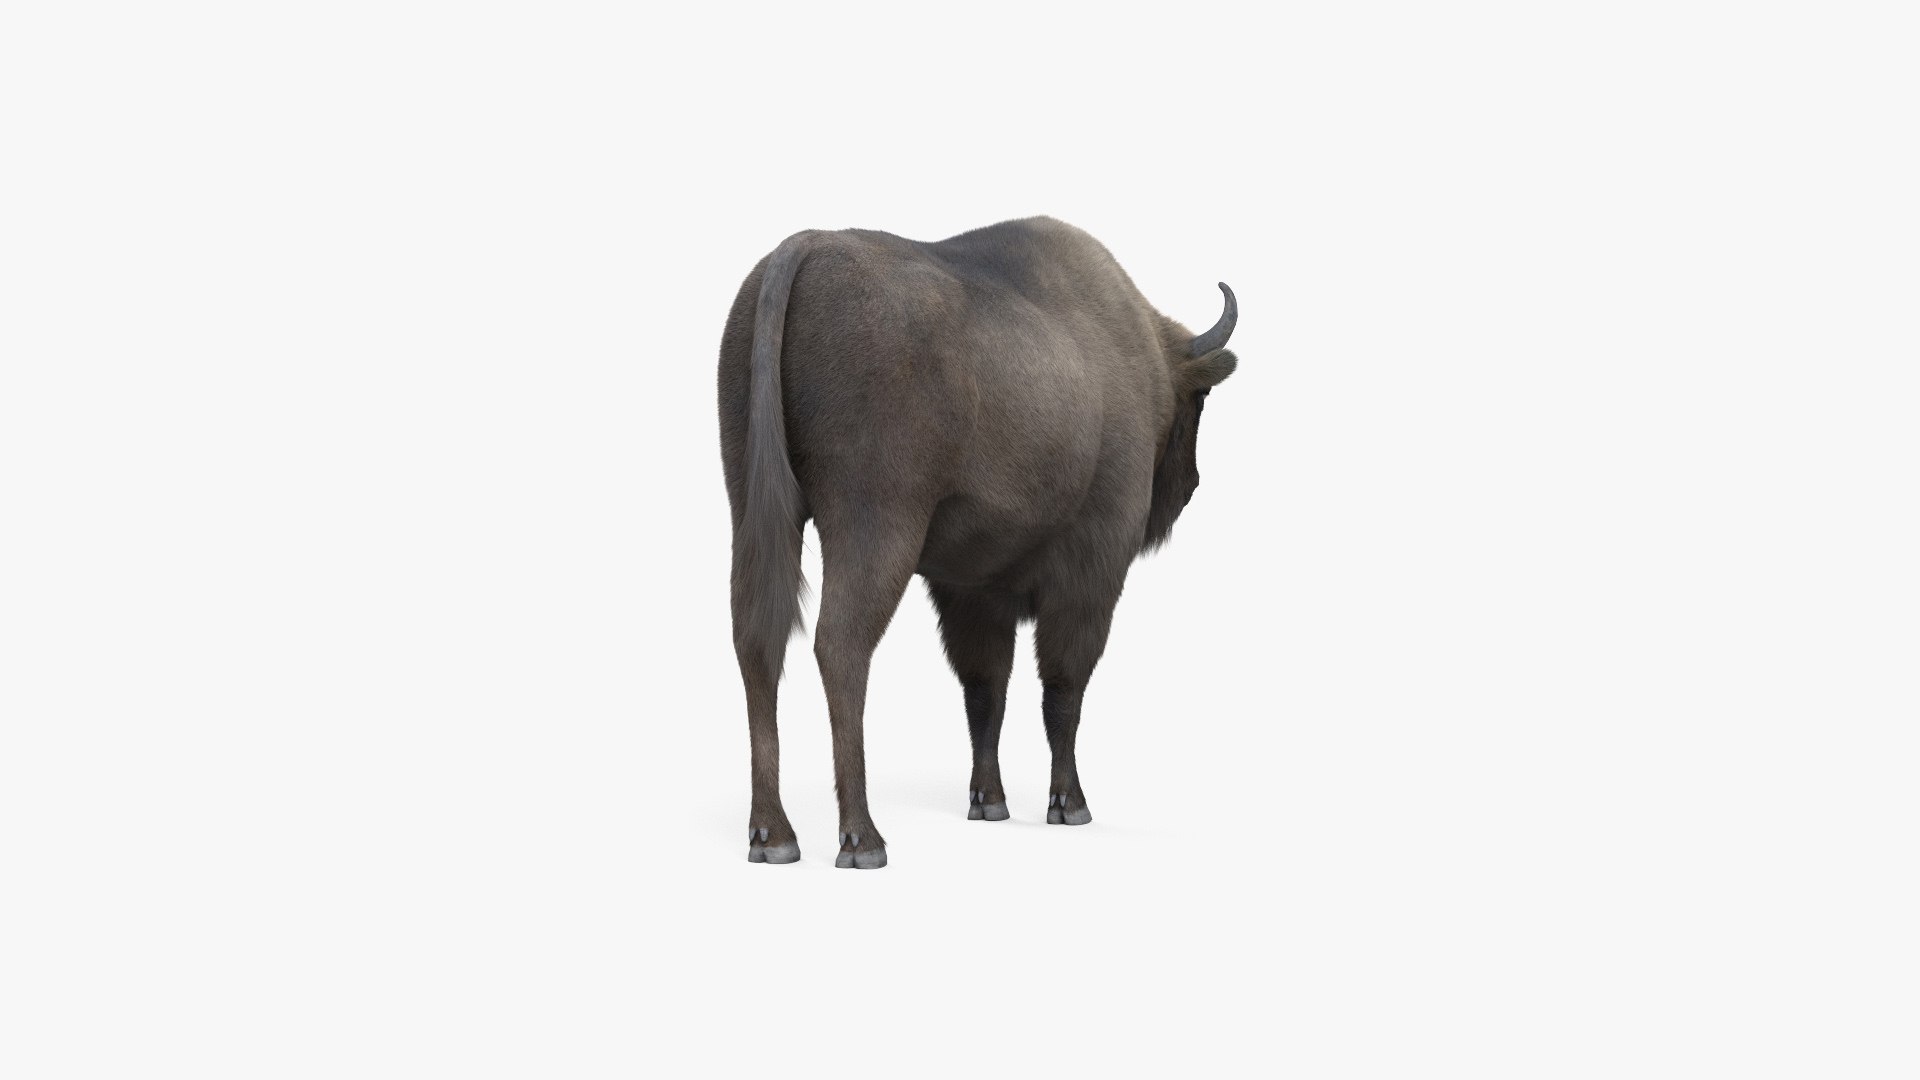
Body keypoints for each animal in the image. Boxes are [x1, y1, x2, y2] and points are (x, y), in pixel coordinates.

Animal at [718, 216, 1238, 867]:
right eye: (1201, 397)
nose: (1191, 484)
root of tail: (804, 248)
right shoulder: (1089, 579)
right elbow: (1062, 689)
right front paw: (1070, 805)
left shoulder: (972, 590)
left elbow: (986, 690)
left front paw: (989, 802)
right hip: (873, 527)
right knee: (840, 647)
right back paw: (862, 838)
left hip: (754, 511)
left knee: (757, 644)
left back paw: (773, 836)